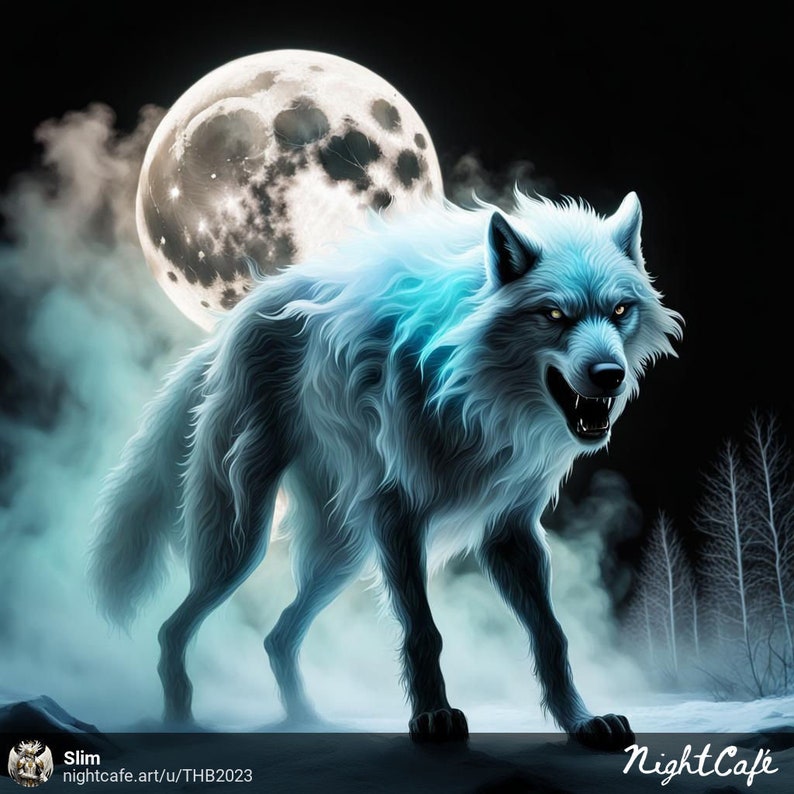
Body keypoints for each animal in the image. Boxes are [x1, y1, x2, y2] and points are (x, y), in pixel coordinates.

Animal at [89, 191, 682, 749]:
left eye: (620, 310)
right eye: (555, 315)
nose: (609, 374)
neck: (472, 395)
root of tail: (228, 328)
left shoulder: (510, 531)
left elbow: (551, 636)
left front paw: (581, 721)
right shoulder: (400, 517)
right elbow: (424, 633)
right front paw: (433, 717)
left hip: (342, 551)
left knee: (278, 635)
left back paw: (305, 722)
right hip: (245, 539)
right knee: (172, 630)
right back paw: (180, 722)